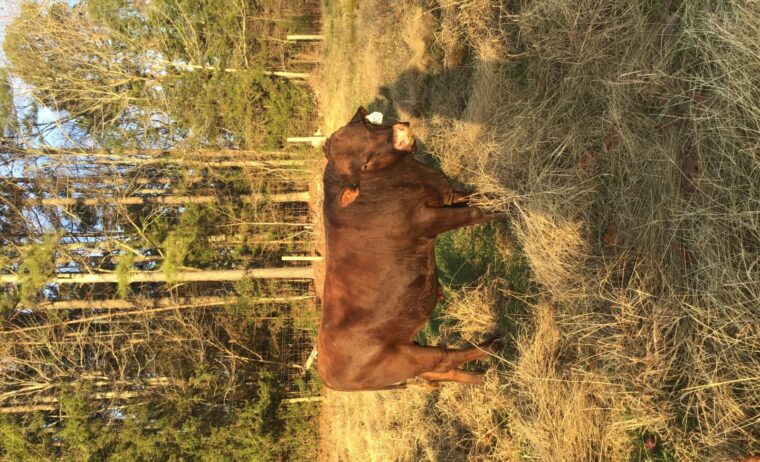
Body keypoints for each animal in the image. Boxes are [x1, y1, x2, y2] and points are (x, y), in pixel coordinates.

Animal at [317, 107, 501, 391]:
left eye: (368, 125)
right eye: (365, 164)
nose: (400, 134)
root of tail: (326, 377)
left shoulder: (448, 194)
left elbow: (476, 197)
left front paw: (501, 197)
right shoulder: (429, 220)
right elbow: (474, 212)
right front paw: (504, 212)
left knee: (441, 372)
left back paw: (482, 376)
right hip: (409, 358)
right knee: (443, 359)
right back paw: (493, 346)